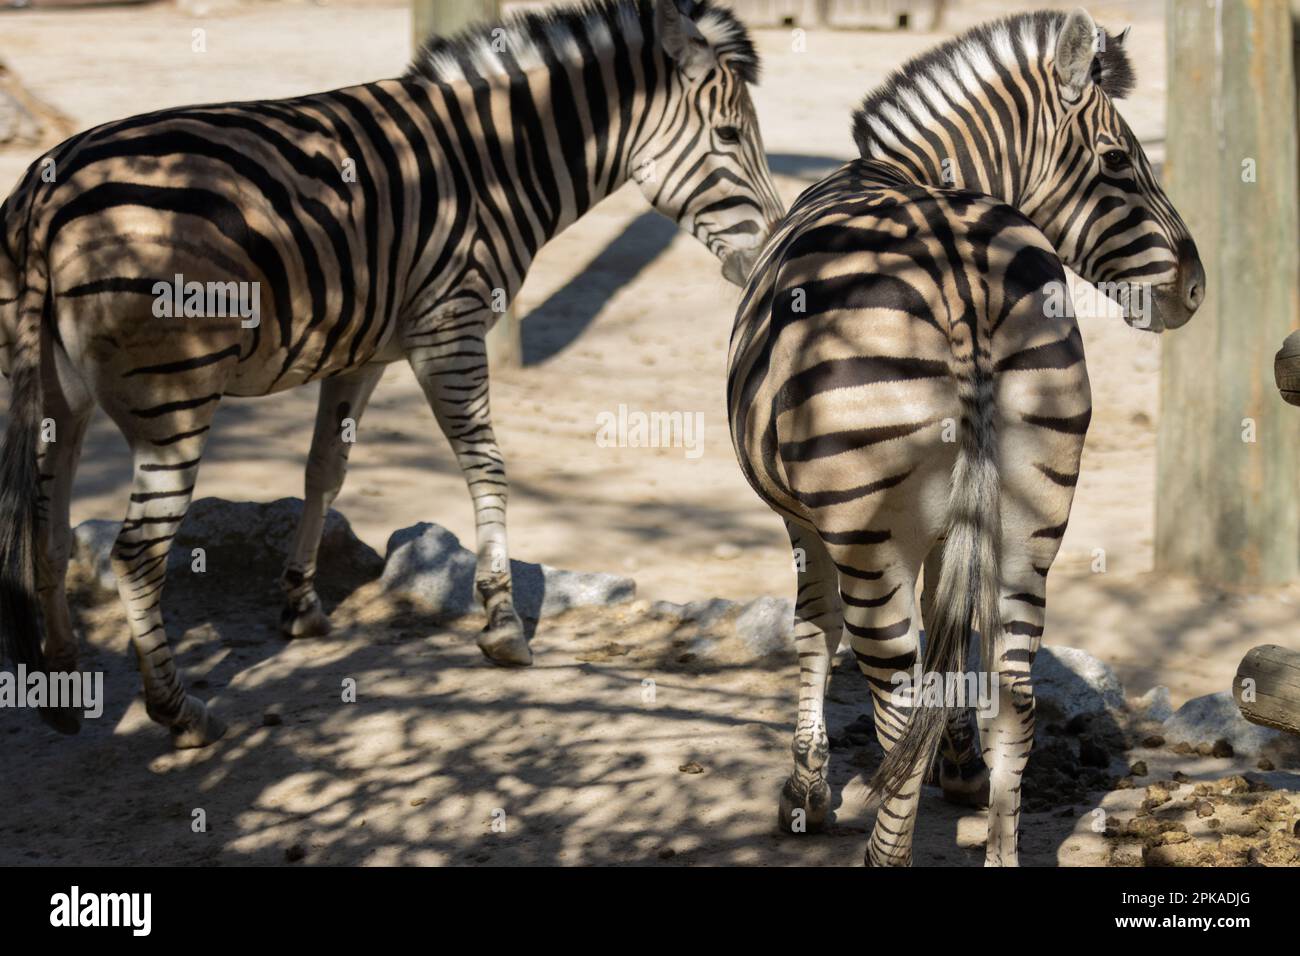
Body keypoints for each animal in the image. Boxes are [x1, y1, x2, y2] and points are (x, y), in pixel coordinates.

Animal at [0, 0, 783, 747]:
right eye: (728, 136)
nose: (770, 257)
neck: (495, 162)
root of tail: (47, 192)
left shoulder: (361, 351)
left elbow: (324, 470)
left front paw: (300, 605)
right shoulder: (450, 328)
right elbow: (488, 465)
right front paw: (501, 623)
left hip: (59, 395)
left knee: (47, 526)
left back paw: (63, 685)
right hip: (176, 397)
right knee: (135, 555)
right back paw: (181, 714)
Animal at [727, 8, 1204, 866]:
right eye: (1119, 160)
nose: (1196, 287)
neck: (909, 170)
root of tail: (954, 260)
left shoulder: (805, 518)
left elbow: (814, 629)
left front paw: (805, 791)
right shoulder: (954, 526)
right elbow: (952, 640)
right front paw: (962, 771)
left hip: (867, 530)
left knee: (895, 705)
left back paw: (884, 853)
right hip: (1031, 515)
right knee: (1014, 699)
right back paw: (1000, 845)